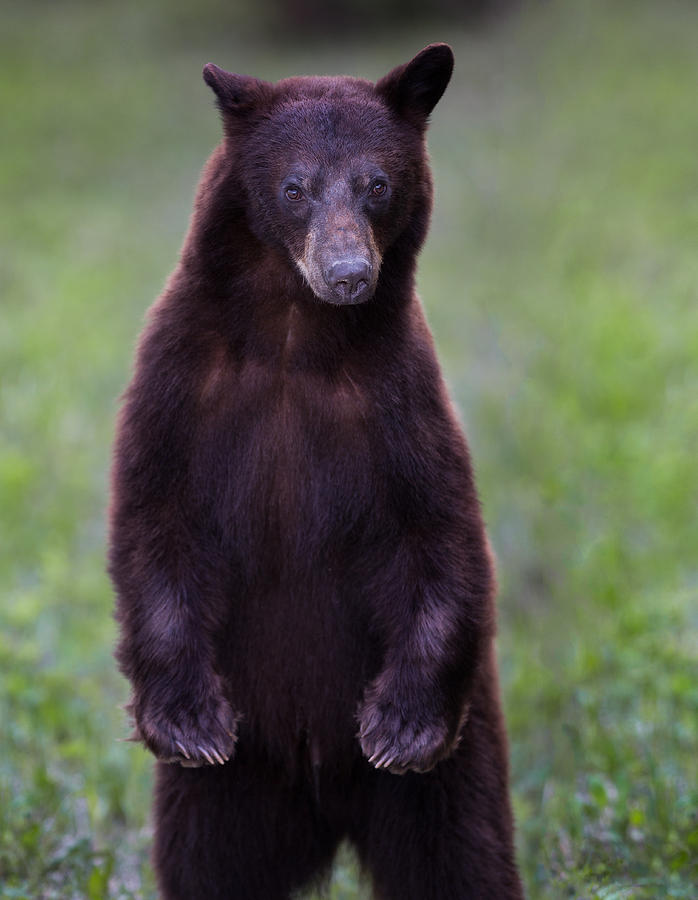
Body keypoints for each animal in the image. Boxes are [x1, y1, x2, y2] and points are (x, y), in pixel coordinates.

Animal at [108, 43, 524, 900]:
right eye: (294, 187)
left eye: (378, 184)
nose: (346, 272)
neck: (294, 339)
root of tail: (319, 791)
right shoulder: (176, 384)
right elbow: (154, 516)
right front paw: (186, 719)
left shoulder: (400, 399)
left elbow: (440, 531)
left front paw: (402, 726)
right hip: (229, 793)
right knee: (207, 864)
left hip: (453, 778)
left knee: (462, 855)